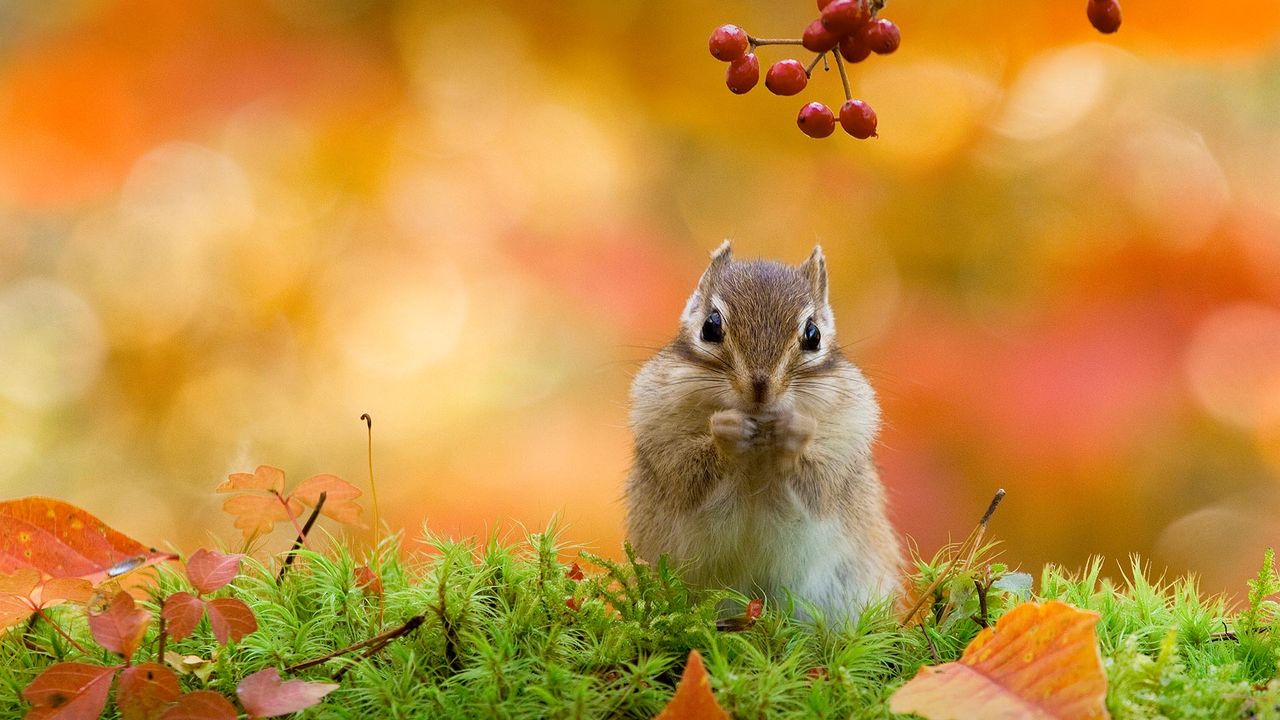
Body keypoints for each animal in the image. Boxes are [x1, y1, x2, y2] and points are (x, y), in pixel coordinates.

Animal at [625, 241, 901, 621]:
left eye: (813, 335)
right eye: (711, 326)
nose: (760, 388)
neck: (758, 451)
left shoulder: (845, 444)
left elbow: (820, 486)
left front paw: (792, 432)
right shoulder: (660, 433)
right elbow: (685, 475)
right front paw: (726, 431)